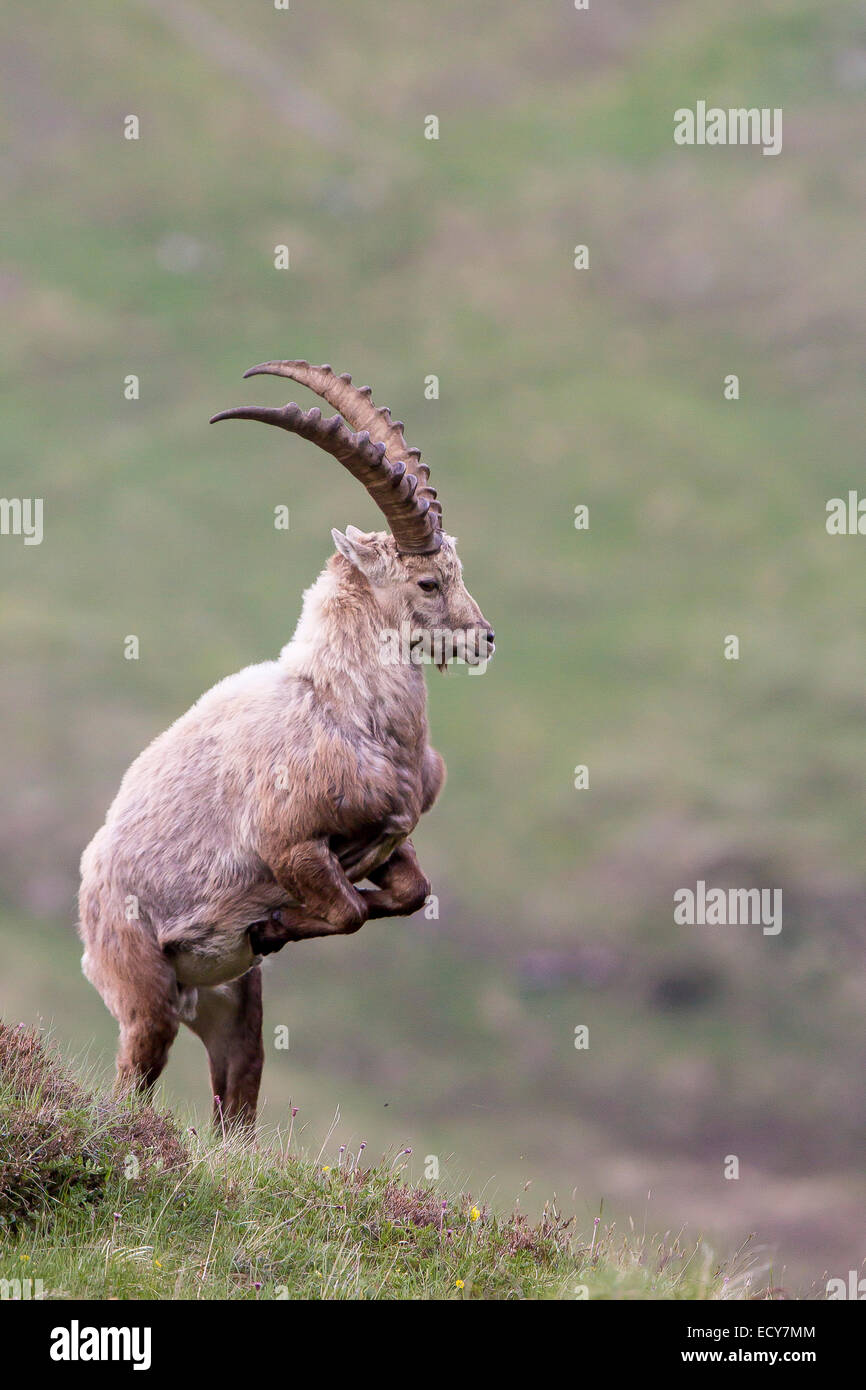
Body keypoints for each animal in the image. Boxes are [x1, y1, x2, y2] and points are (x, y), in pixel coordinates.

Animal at [78, 360, 494, 1128]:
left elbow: (411, 893)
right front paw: (271, 926)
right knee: (131, 1081)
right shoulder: (290, 843)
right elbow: (350, 910)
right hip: (144, 995)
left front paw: (273, 928)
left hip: (235, 1006)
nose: (483, 638)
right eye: (427, 580)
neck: (347, 710)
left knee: (235, 1106)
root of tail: (88, 904)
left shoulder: (387, 836)